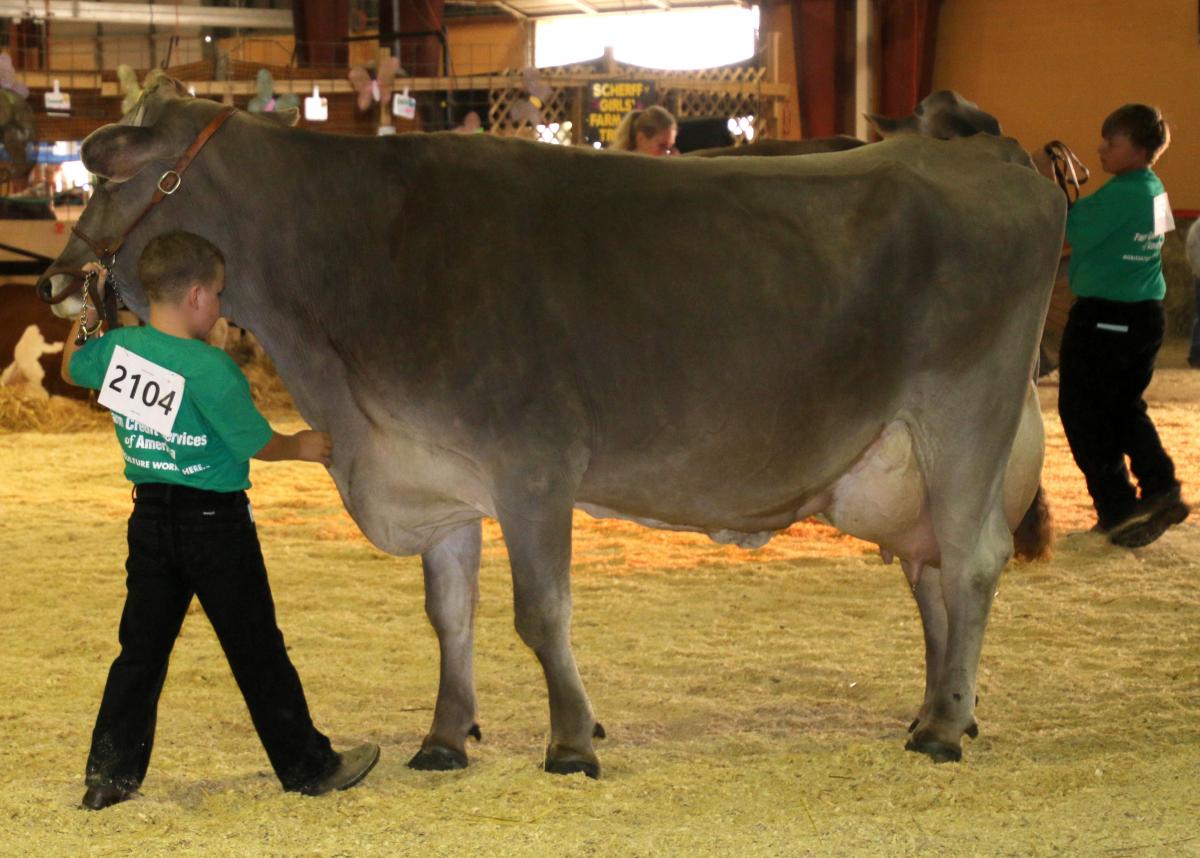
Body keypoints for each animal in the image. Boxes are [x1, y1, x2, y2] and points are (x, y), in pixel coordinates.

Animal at [40, 78, 1065, 776]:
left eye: (101, 167)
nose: (52, 281)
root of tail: (986, 152)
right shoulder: (438, 477)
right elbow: (449, 615)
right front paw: (445, 736)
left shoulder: (533, 465)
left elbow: (540, 612)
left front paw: (572, 740)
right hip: (910, 458)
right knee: (930, 570)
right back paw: (940, 708)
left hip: (964, 413)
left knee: (970, 561)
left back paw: (944, 726)